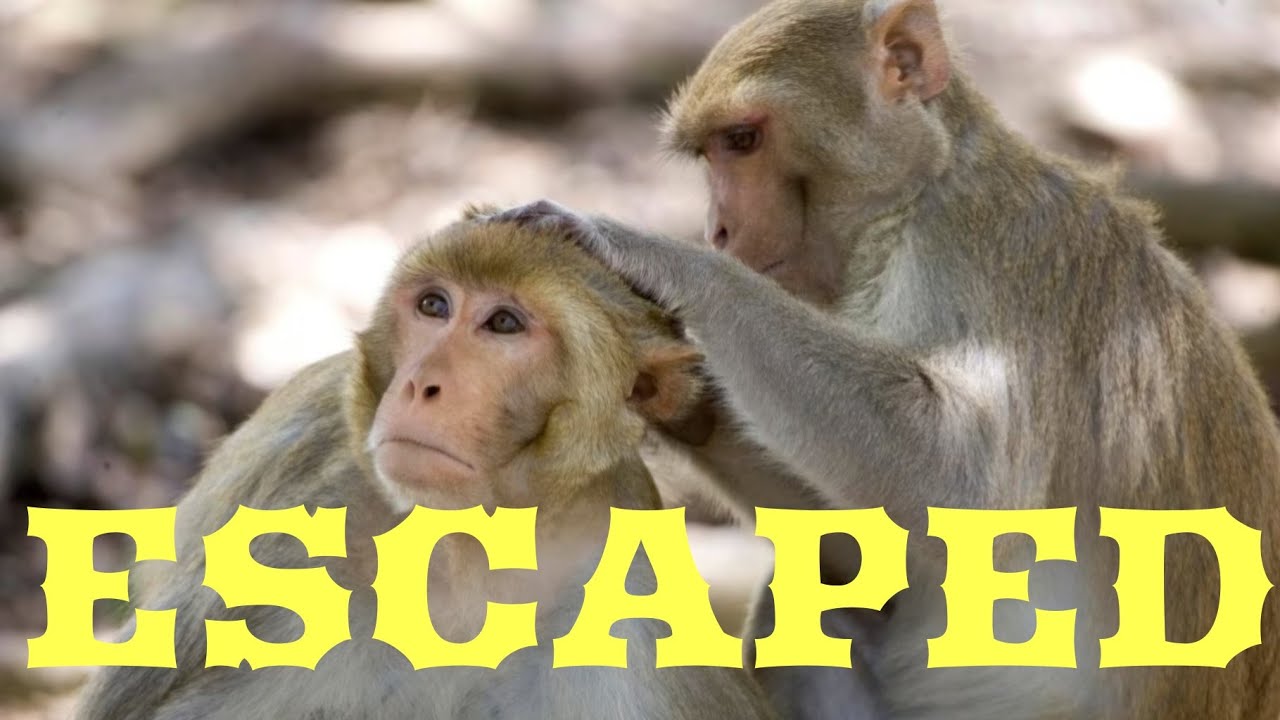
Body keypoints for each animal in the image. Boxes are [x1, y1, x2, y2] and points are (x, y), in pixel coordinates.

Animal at [71, 211, 780, 720]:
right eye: (434, 306)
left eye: (504, 323)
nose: (419, 385)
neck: (471, 549)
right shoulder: (293, 526)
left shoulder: (638, 603)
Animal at [484, 0, 1280, 718]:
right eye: (714, 152)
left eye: (741, 140)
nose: (717, 229)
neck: (915, 203)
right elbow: (869, 540)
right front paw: (674, 397)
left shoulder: (995, 253)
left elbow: (963, 482)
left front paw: (651, 258)